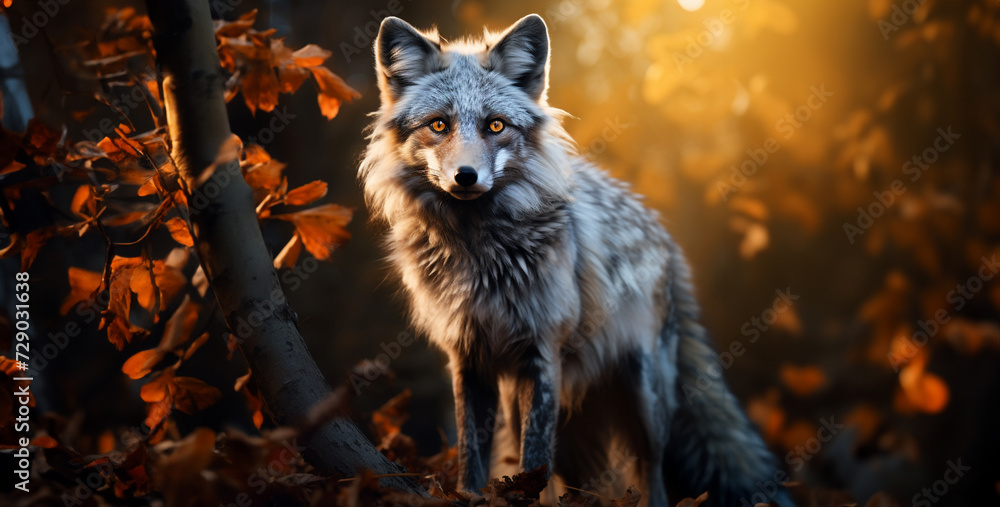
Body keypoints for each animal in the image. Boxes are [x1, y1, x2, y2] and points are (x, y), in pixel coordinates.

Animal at [359, 13, 795, 507]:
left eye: (495, 126)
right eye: (438, 125)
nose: (465, 176)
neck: (479, 254)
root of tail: (666, 239)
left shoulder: (541, 352)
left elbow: (533, 462)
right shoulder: (468, 356)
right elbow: (473, 456)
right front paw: (472, 496)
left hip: (645, 402)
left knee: (653, 473)